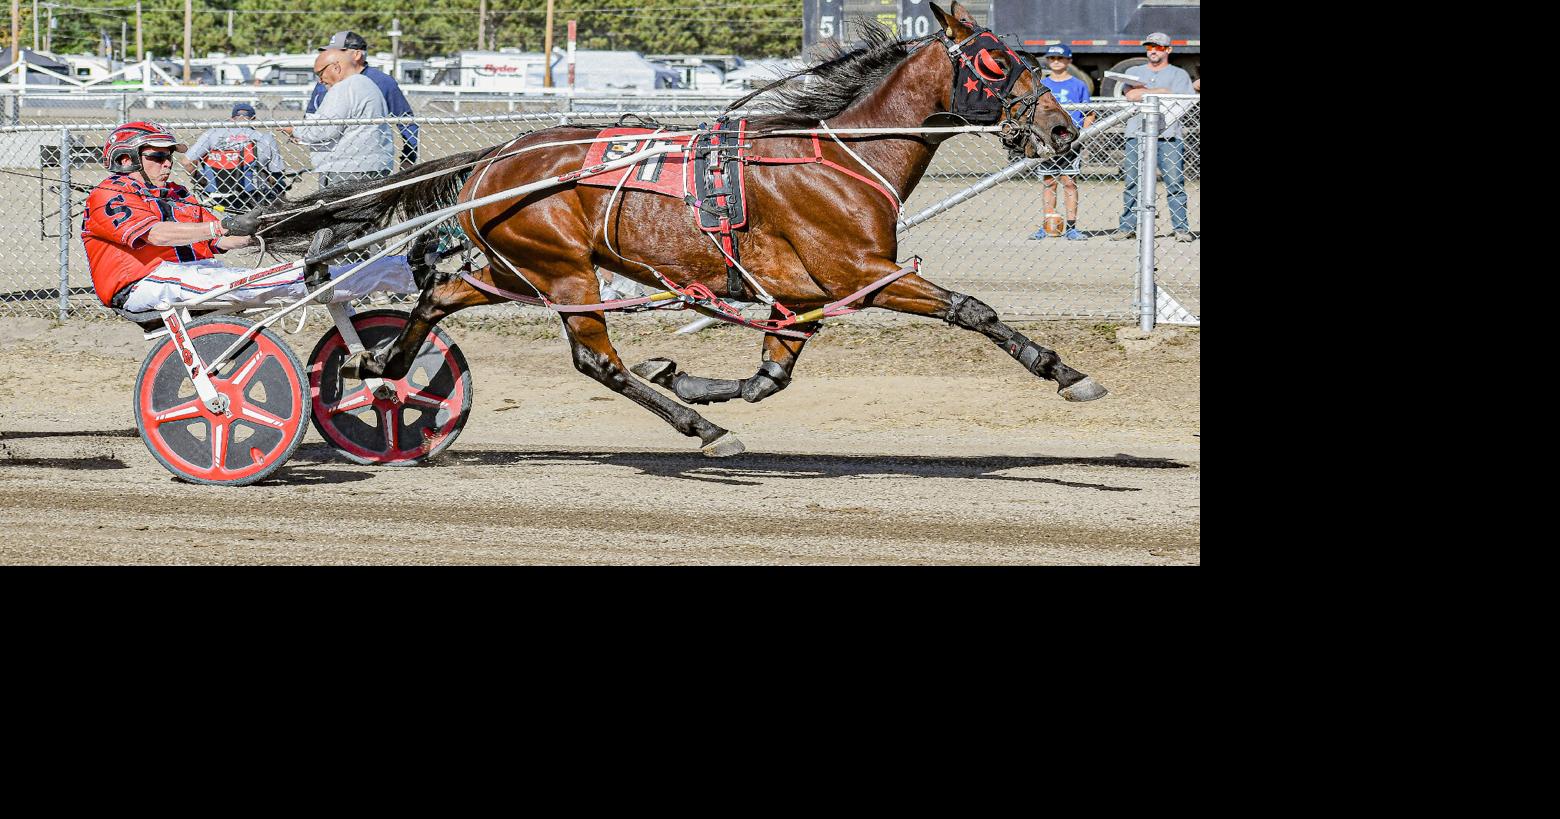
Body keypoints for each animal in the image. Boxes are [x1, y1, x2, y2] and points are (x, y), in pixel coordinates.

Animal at [252, 2, 1108, 457]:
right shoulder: (861, 276)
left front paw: (682, 373)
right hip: (565, 271)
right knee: (594, 360)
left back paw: (379, 367)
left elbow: (770, 375)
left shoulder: (799, 296)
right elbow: (974, 309)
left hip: (515, 266)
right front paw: (1065, 371)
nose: (1064, 129)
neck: (838, 156)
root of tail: (499, 152)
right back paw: (701, 430)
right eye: (995, 64)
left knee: (441, 292)